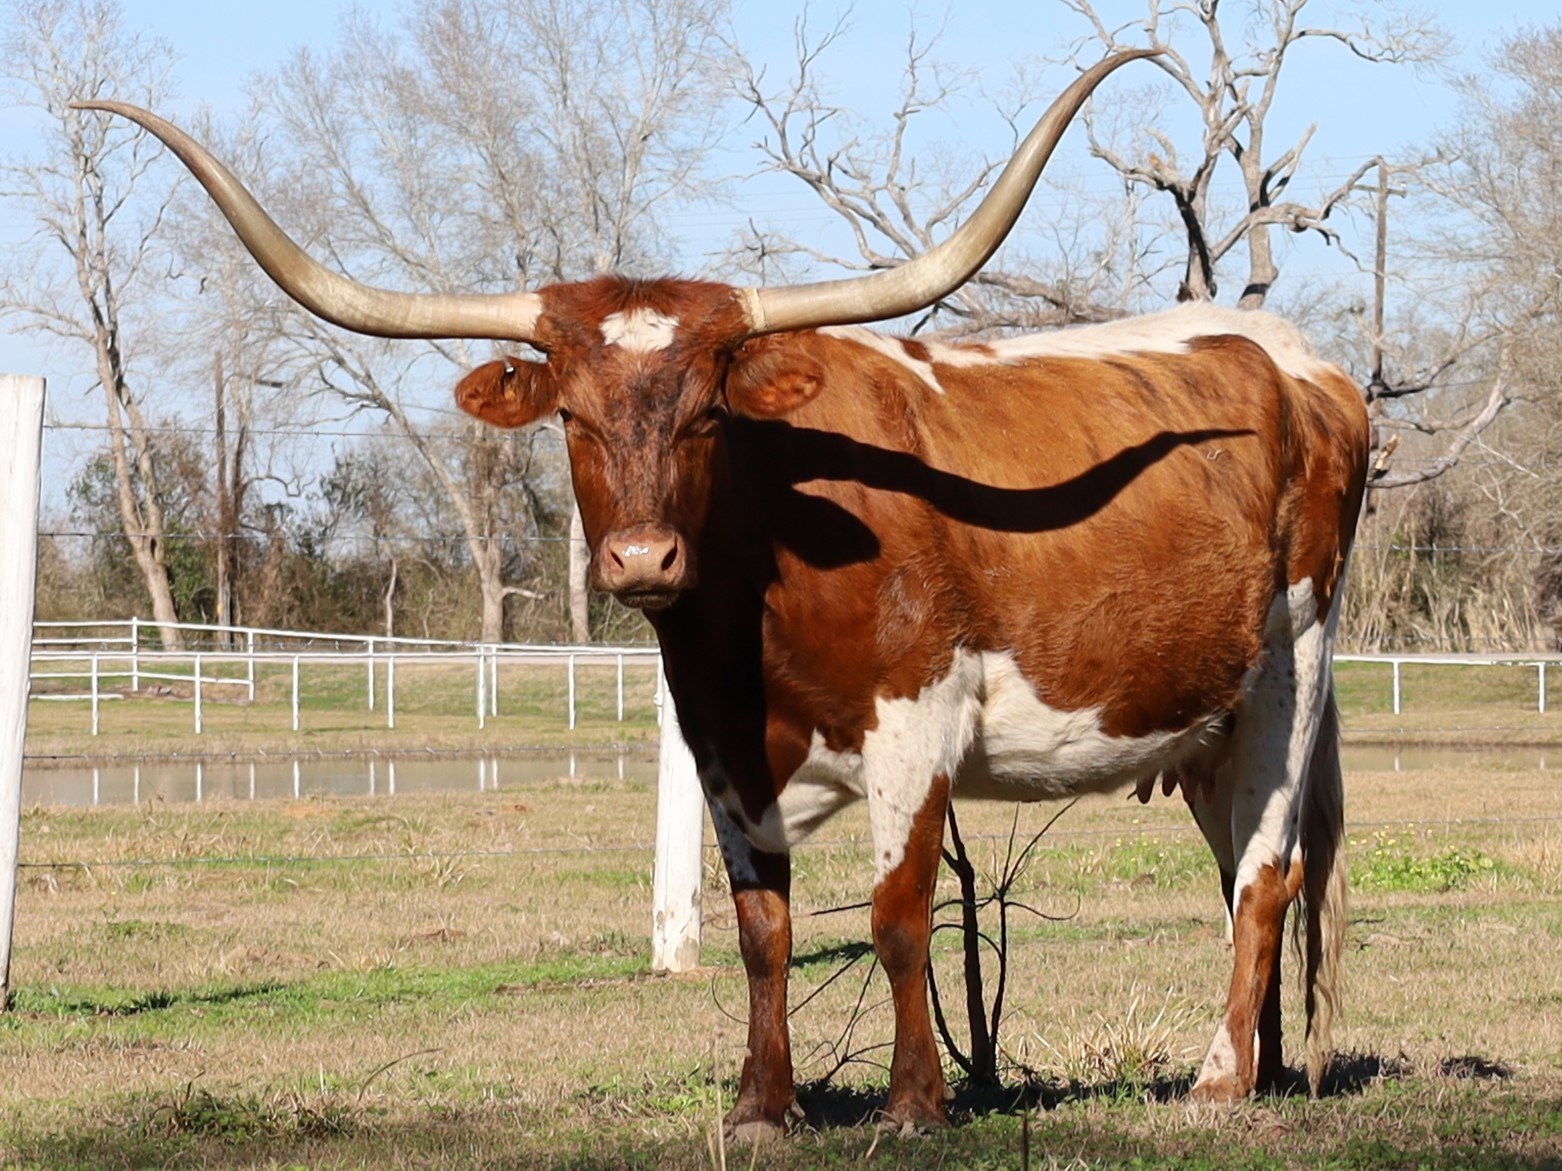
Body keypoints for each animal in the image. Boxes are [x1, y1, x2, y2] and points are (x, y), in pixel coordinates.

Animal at [80, 51, 1369, 1142]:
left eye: (708, 414)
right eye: (571, 416)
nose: (642, 562)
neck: (756, 594)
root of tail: (1299, 359)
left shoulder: (915, 723)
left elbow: (898, 916)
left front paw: (912, 1105)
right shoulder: (717, 743)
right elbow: (761, 928)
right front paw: (762, 1105)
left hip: (1290, 674)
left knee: (1264, 874)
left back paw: (1216, 1083)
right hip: (1201, 726)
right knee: (1234, 873)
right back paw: (1254, 1065)